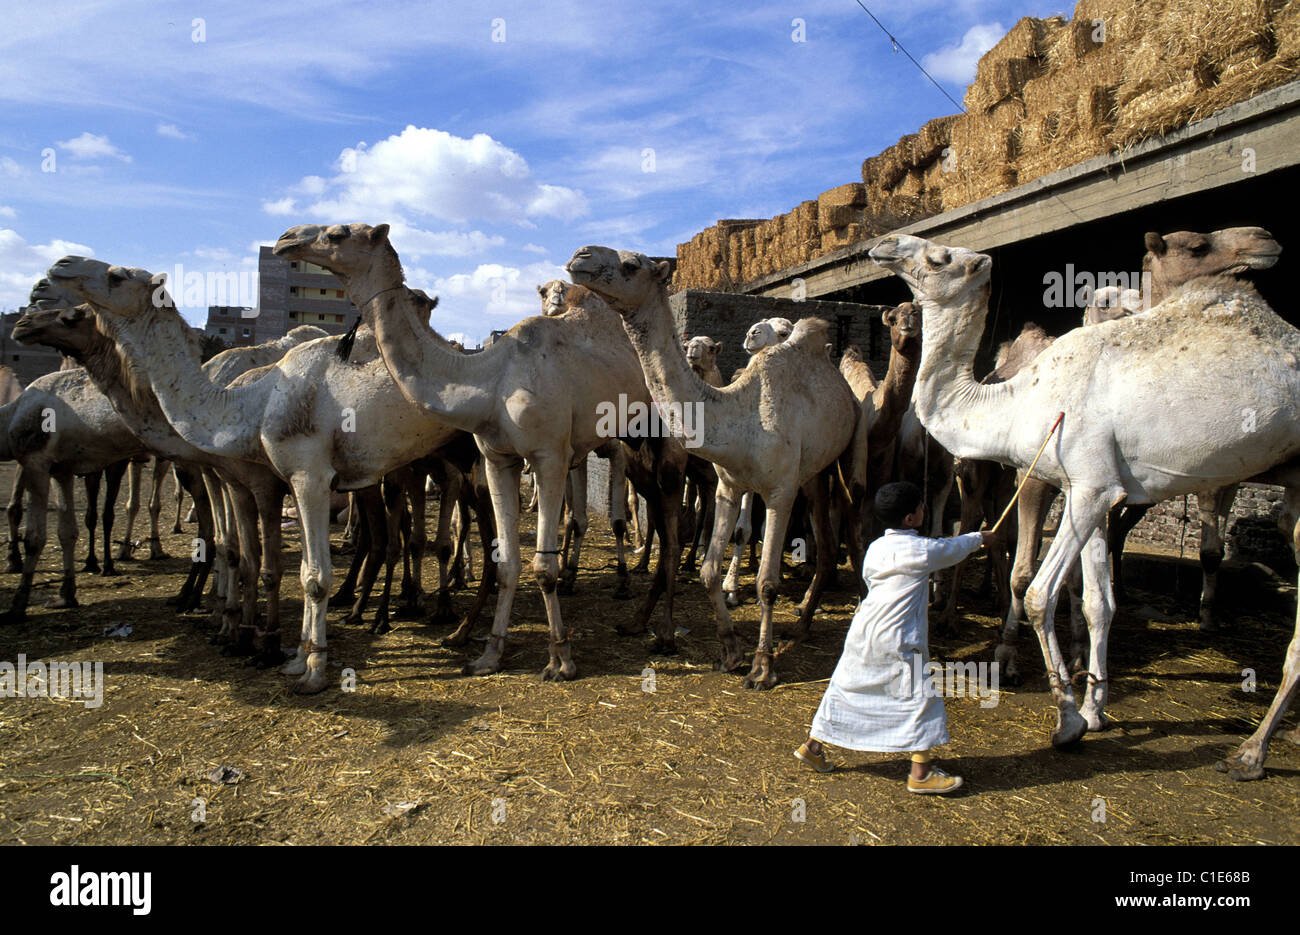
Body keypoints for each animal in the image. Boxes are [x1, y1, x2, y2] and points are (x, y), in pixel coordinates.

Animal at [568, 245, 858, 689]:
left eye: (632, 264)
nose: (580, 256)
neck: (741, 415)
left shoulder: (780, 491)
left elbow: (767, 583)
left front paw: (762, 667)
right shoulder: (728, 486)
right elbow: (707, 570)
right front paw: (731, 652)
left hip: (834, 464)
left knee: (837, 537)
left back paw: (811, 621)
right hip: (810, 477)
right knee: (825, 546)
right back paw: (802, 622)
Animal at [869, 233, 1300, 779]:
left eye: (940, 257)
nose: (885, 244)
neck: (1017, 399)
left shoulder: (1091, 484)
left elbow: (1039, 595)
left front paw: (1068, 722)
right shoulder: (1091, 488)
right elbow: (1099, 601)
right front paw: (1095, 710)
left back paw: (1249, 753)